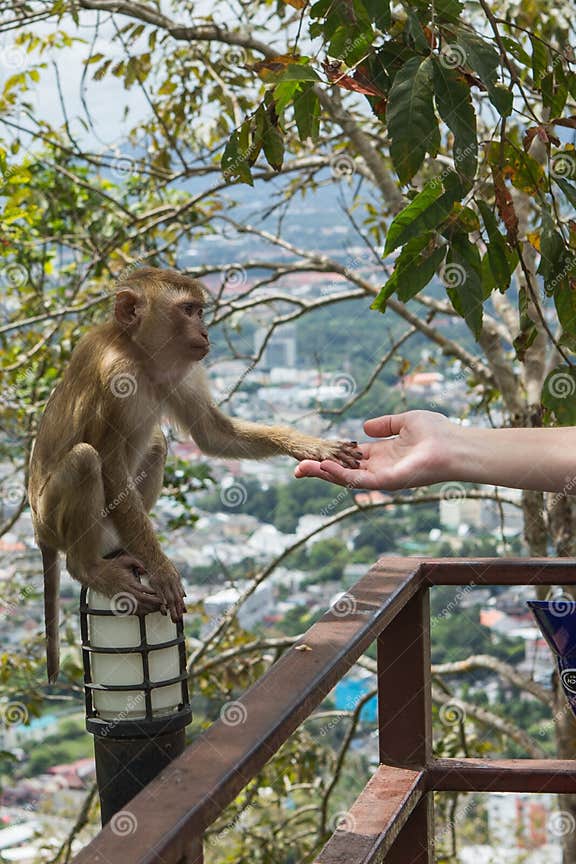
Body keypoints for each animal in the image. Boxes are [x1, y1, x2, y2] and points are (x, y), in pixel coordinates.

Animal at [28, 266, 362, 682]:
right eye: (188, 310)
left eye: (199, 311)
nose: (204, 332)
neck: (136, 353)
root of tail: (38, 532)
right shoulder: (116, 376)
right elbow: (109, 464)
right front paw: (162, 569)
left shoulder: (178, 371)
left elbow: (213, 434)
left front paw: (313, 447)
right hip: (52, 515)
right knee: (86, 459)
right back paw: (89, 566)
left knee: (156, 445)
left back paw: (122, 549)